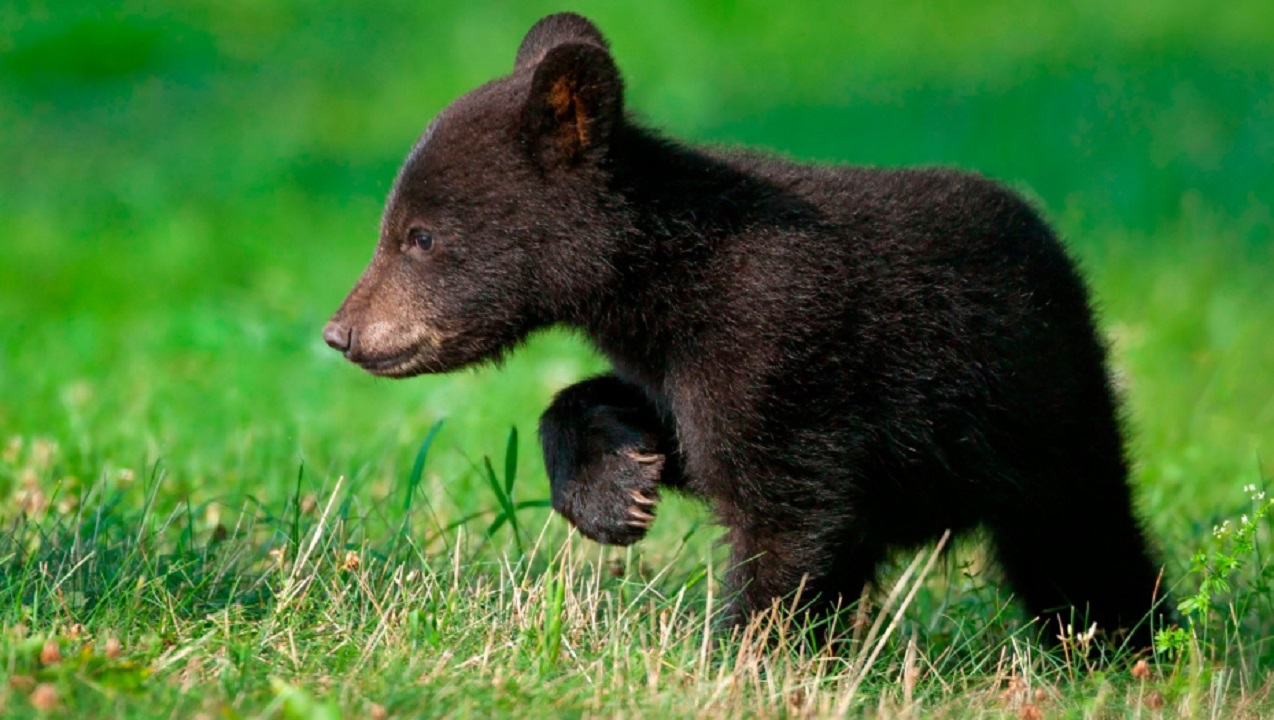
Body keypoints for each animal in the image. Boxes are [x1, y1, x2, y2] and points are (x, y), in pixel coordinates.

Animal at [323, 12, 1168, 647]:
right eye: (398, 227)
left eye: (419, 236)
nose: (342, 331)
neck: (669, 278)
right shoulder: (682, 360)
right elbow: (669, 433)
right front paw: (614, 486)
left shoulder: (777, 349)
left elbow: (786, 514)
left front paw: (744, 655)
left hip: (1043, 413)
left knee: (1082, 542)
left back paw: (1131, 647)